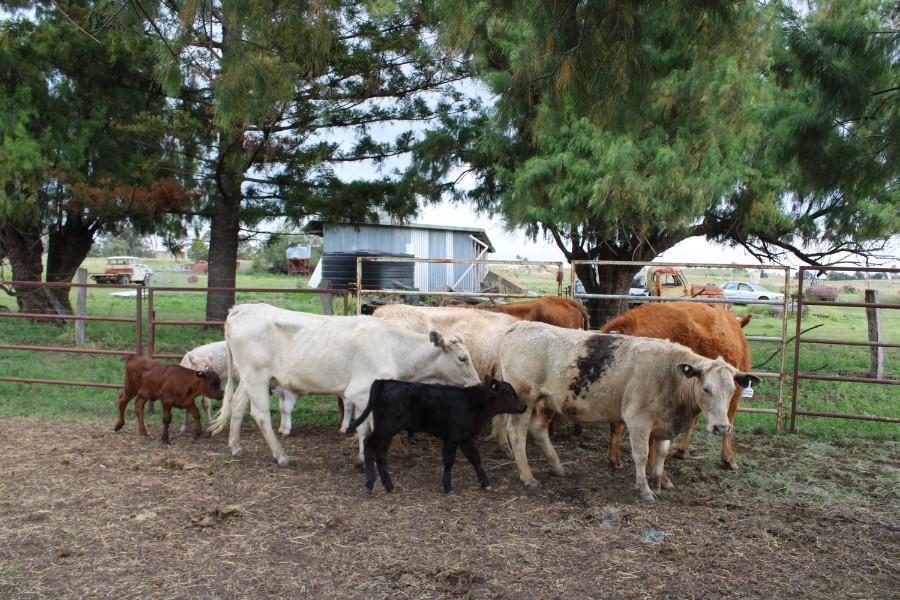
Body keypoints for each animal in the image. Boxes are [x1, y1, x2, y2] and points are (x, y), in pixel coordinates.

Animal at [209, 303, 480, 466]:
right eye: (462, 358)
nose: (478, 385)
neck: (393, 348)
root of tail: (245, 307)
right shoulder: (360, 392)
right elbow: (364, 428)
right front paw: (365, 458)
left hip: (248, 377)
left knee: (238, 405)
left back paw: (235, 447)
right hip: (257, 375)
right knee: (260, 413)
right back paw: (282, 456)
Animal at [348, 378, 527, 495]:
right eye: (510, 394)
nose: (524, 406)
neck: (472, 403)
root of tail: (384, 381)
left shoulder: (465, 438)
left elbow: (475, 458)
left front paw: (485, 483)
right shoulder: (453, 438)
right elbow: (448, 461)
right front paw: (447, 487)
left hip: (387, 432)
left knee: (381, 453)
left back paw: (389, 486)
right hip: (385, 428)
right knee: (369, 444)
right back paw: (370, 484)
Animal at [499, 322, 759, 500]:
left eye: (731, 390)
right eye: (706, 388)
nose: (722, 427)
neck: (670, 375)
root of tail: (519, 326)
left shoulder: (664, 423)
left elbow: (661, 453)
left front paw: (658, 482)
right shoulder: (638, 422)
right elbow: (642, 455)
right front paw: (644, 489)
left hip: (547, 402)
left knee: (539, 430)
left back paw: (558, 467)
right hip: (524, 399)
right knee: (517, 434)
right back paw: (528, 477)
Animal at [601, 302, 753, 470]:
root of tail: (631, 317)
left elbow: (694, 421)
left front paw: (682, 450)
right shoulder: (733, 394)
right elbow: (729, 423)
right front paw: (729, 459)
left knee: (616, 423)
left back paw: (615, 458)